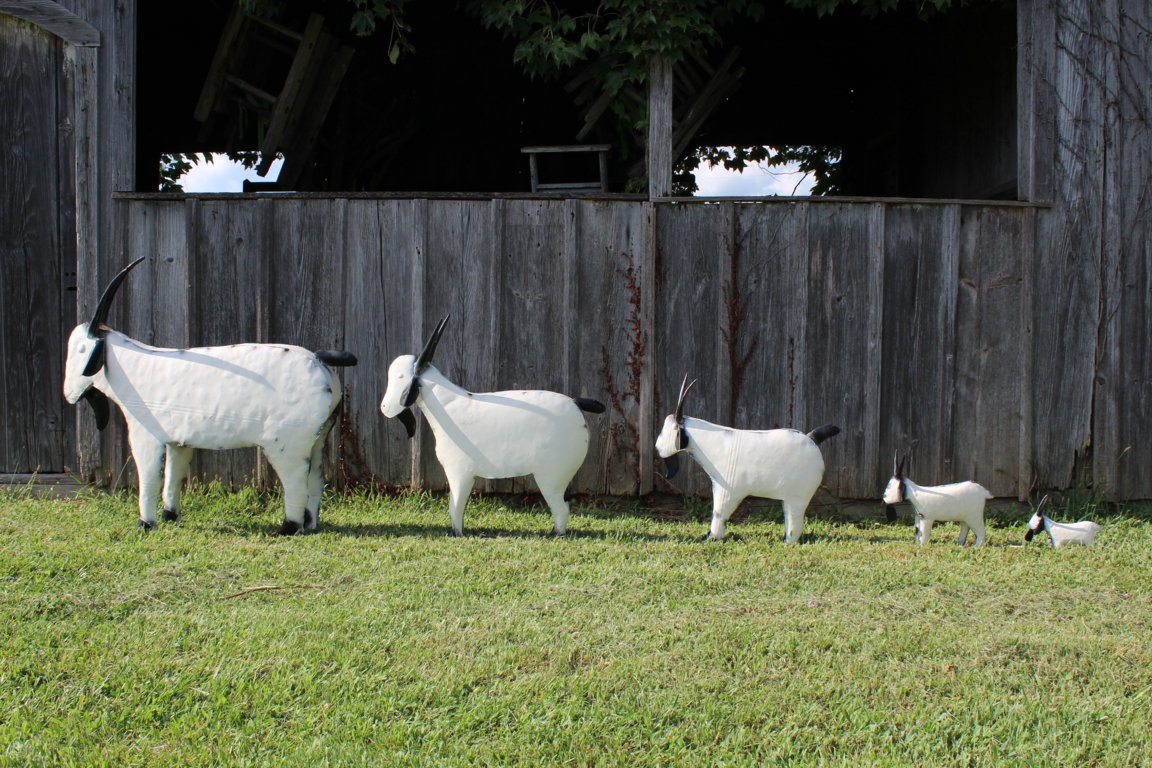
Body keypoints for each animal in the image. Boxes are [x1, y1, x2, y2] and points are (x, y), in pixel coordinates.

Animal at [63, 258, 357, 534]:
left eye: (81, 349)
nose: (68, 394)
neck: (133, 364)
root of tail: (319, 360)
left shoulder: (146, 436)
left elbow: (149, 478)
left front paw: (145, 524)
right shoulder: (179, 441)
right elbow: (173, 477)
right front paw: (170, 516)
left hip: (286, 445)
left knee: (296, 483)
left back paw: (288, 528)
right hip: (318, 438)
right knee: (315, 482)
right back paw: (310, 524)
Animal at [379, 316, 605, 537]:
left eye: (400, 377)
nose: (384, 407)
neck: (447, 403)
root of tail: (576, 402)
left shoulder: (459, 472)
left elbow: (456, 506)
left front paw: (457, 533)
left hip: (551, 476)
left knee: (562, 508)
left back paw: (556, 534)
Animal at [654, 376, 840, 542]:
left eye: (668, 432)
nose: (657, 446)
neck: (715, 441)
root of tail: (812, 437)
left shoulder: (728, 490)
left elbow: (719, 513)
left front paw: (712, 538)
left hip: (798, 496)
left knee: (795, 520)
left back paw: (788, 542)